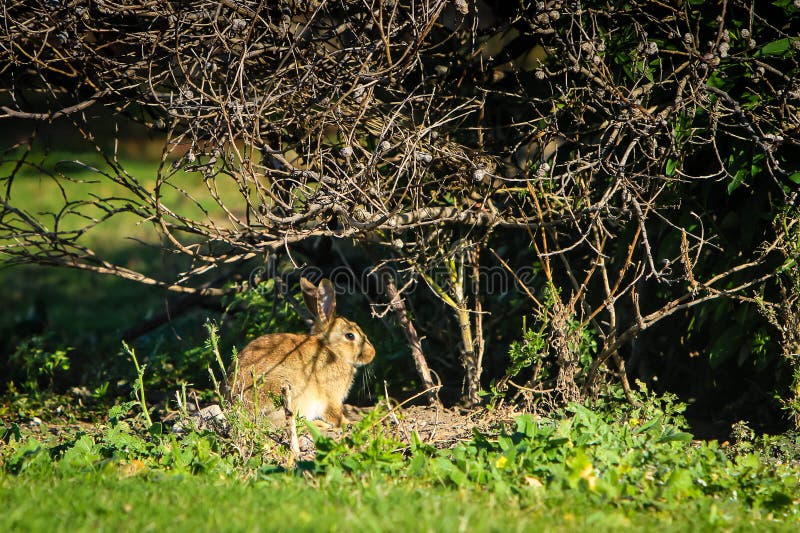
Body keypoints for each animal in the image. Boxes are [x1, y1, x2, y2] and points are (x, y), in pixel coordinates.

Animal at [224, 277, 375, 427]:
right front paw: (350, 422)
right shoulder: (331, 396)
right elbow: (335, 415)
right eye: (350, 336)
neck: (331, 349)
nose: (372, 353)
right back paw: (319, 425)